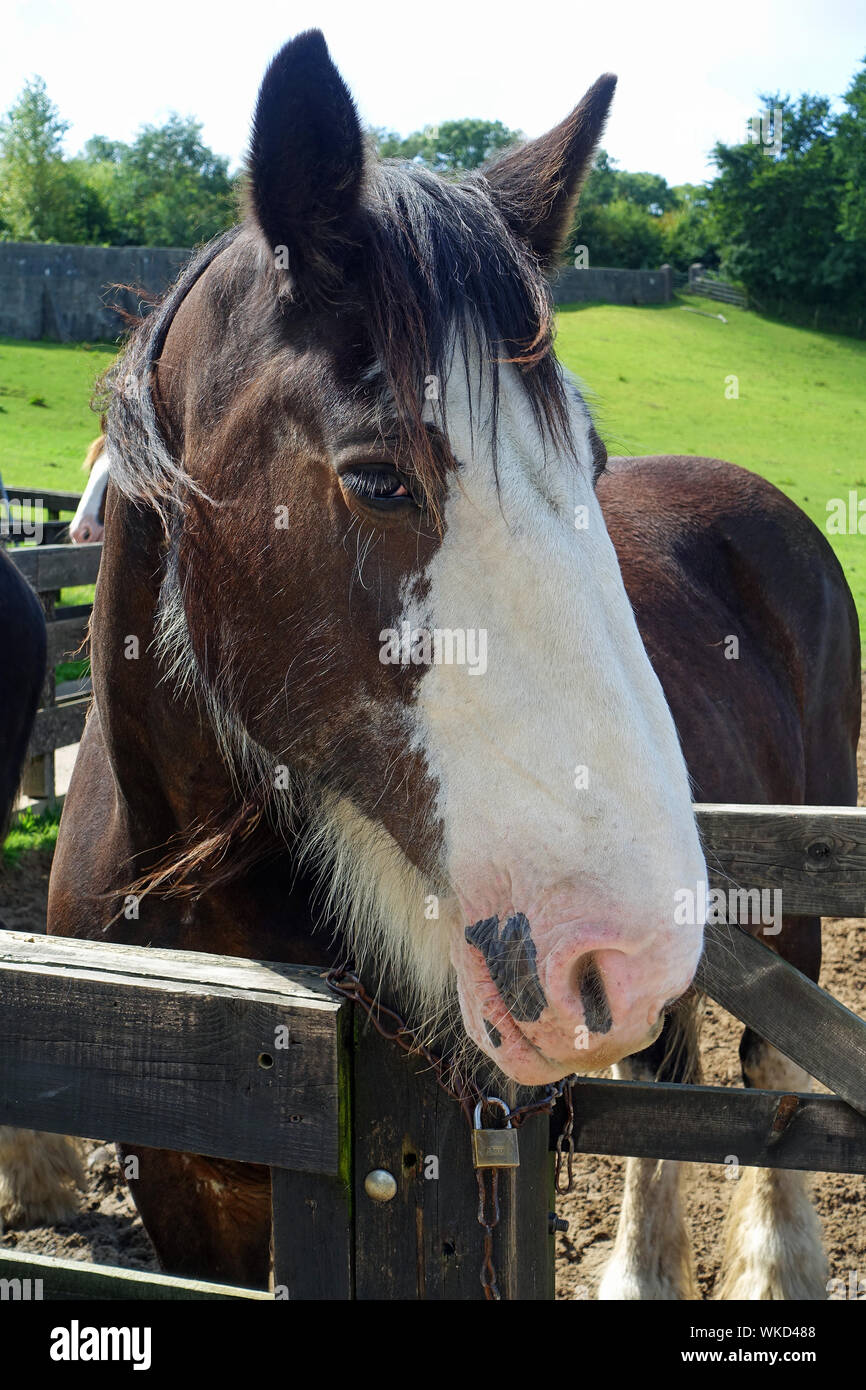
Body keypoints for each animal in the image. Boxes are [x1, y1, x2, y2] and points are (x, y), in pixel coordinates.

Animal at [4, 30, 858, 1297]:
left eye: (589, 462)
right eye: (376, 478)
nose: (627, 945)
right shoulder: (184, 1183)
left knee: (766, 1079)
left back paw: (778, 1266)